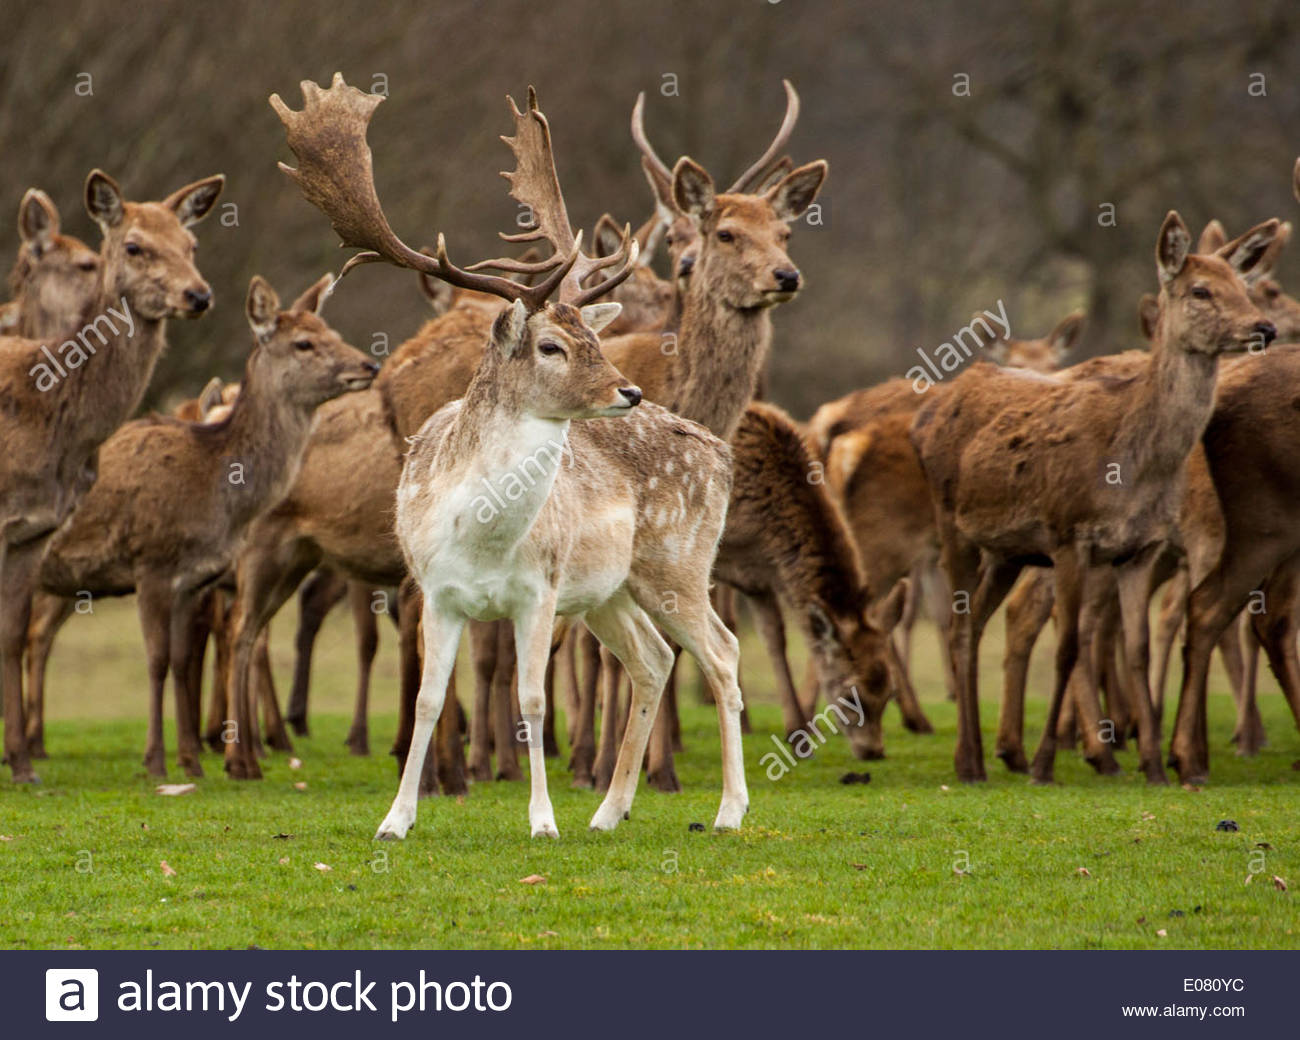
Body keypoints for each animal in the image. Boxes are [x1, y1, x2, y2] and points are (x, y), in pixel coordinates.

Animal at [0, 169, 223, 783]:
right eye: (134, 246)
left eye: (191, 244)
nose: (198, 295)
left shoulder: (33, 530)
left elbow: (11, 635)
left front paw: (22, 764)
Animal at [36, 272, 376, 775]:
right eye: (304, 342)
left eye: (330, 330)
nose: (370, 364)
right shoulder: (152, 563)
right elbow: (157, 660)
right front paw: (156, 760)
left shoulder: (193, 580)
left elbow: (181, 660)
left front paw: (192, 761)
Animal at [270, 73, 746, 839]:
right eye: (551, 345)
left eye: (594, 335)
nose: (629, 390)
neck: (483, 540)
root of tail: (722, 452)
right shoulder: (434, 590)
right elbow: (429, 700)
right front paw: (395, 820)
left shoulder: (539, 591)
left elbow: (532, 702)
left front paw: (542, 820)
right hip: (613, 589)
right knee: (653, 658)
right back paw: (609, 812)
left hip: (678, 562)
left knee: (723, 654)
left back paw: (729, 810)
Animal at [912, 211, 1280, 786]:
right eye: (1200, 289)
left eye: (1244, 287)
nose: (1264, 328)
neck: (1132, 467)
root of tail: (926, 415)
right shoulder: (1068, 534)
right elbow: (1067, 648)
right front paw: (1045, 765)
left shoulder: (1140, 549)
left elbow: (1138, 648)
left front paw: (1154, 767)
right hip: (953, 527)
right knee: (959, 627)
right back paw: (971, 761)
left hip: (1008, 551)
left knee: (975, 625)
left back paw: (980, 758)